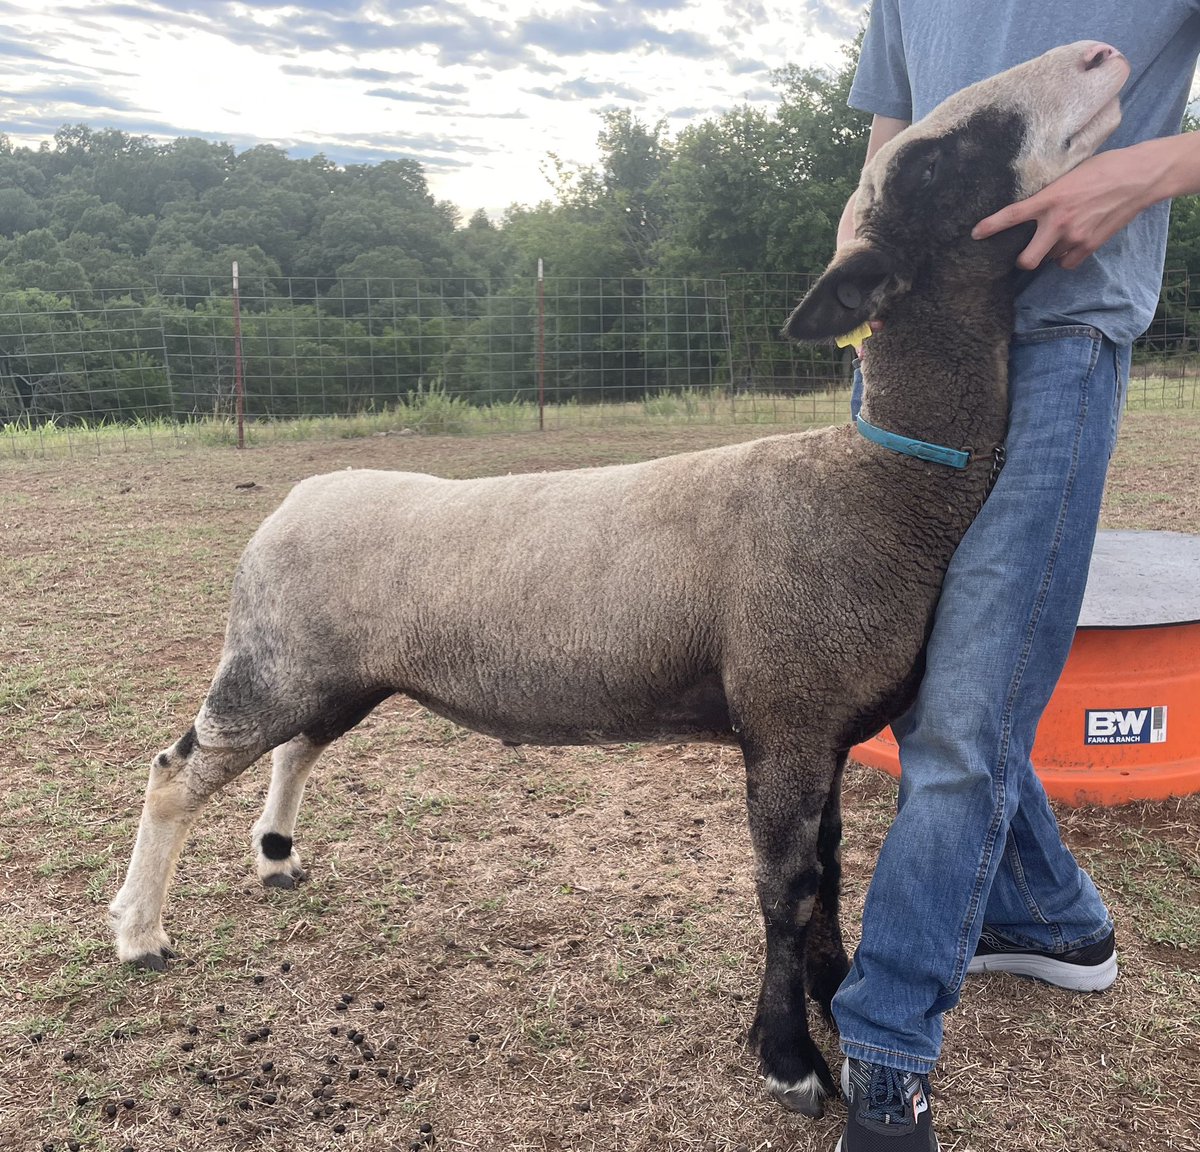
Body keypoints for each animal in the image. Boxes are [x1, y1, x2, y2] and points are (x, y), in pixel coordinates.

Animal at [109, 41, 1128, 1120]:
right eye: (932, 161)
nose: (1099, 56)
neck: (885, 481)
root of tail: (293, 501)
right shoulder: (785, 720)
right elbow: (787, 887)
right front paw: (790, 1057)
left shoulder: (821, 729)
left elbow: (829, 870)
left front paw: (833, 996)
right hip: (272, 663)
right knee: (177, 770)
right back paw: (139, 932)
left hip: (338, 676)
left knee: (296, 749)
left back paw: (275, 858)